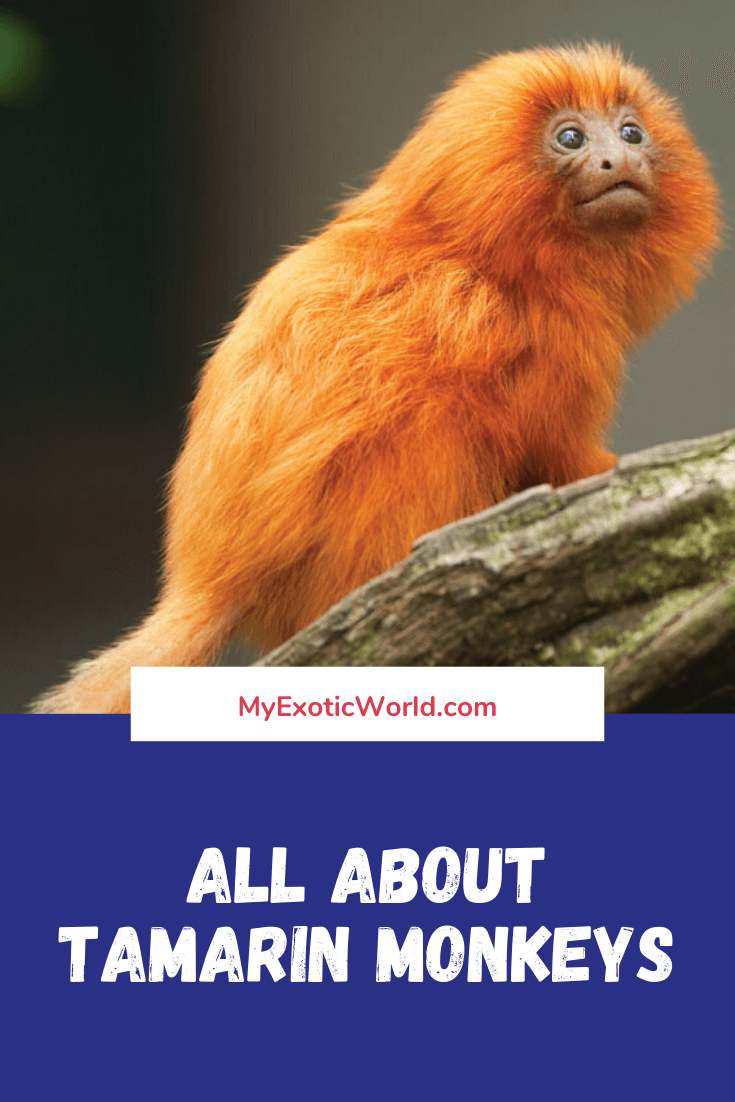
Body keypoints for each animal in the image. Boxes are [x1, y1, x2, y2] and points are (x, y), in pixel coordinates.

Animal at [32, 43, 720, 714]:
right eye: (571, 139)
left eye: (631, 131)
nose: (616, 159)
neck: (491, 255)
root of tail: (212, 579)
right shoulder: (552, 342)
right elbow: (552, 449)